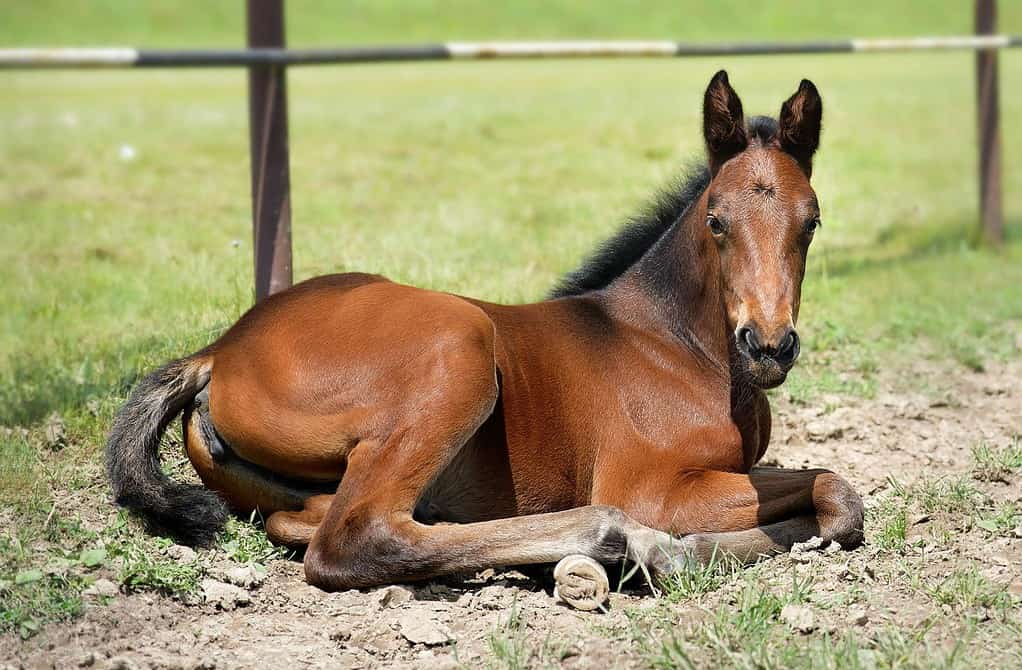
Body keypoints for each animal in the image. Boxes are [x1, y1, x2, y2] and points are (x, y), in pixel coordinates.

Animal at [106, 71, 864, 593]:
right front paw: (665, 548)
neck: (676, 343)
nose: (769, 347)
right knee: (353, 539)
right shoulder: (654, 485)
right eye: (716, 221)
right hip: (461, 345)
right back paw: (609, 539)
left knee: (307, 520)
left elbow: (834, 500)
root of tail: (218, 350)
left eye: (812, 222)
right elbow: (837, 490)